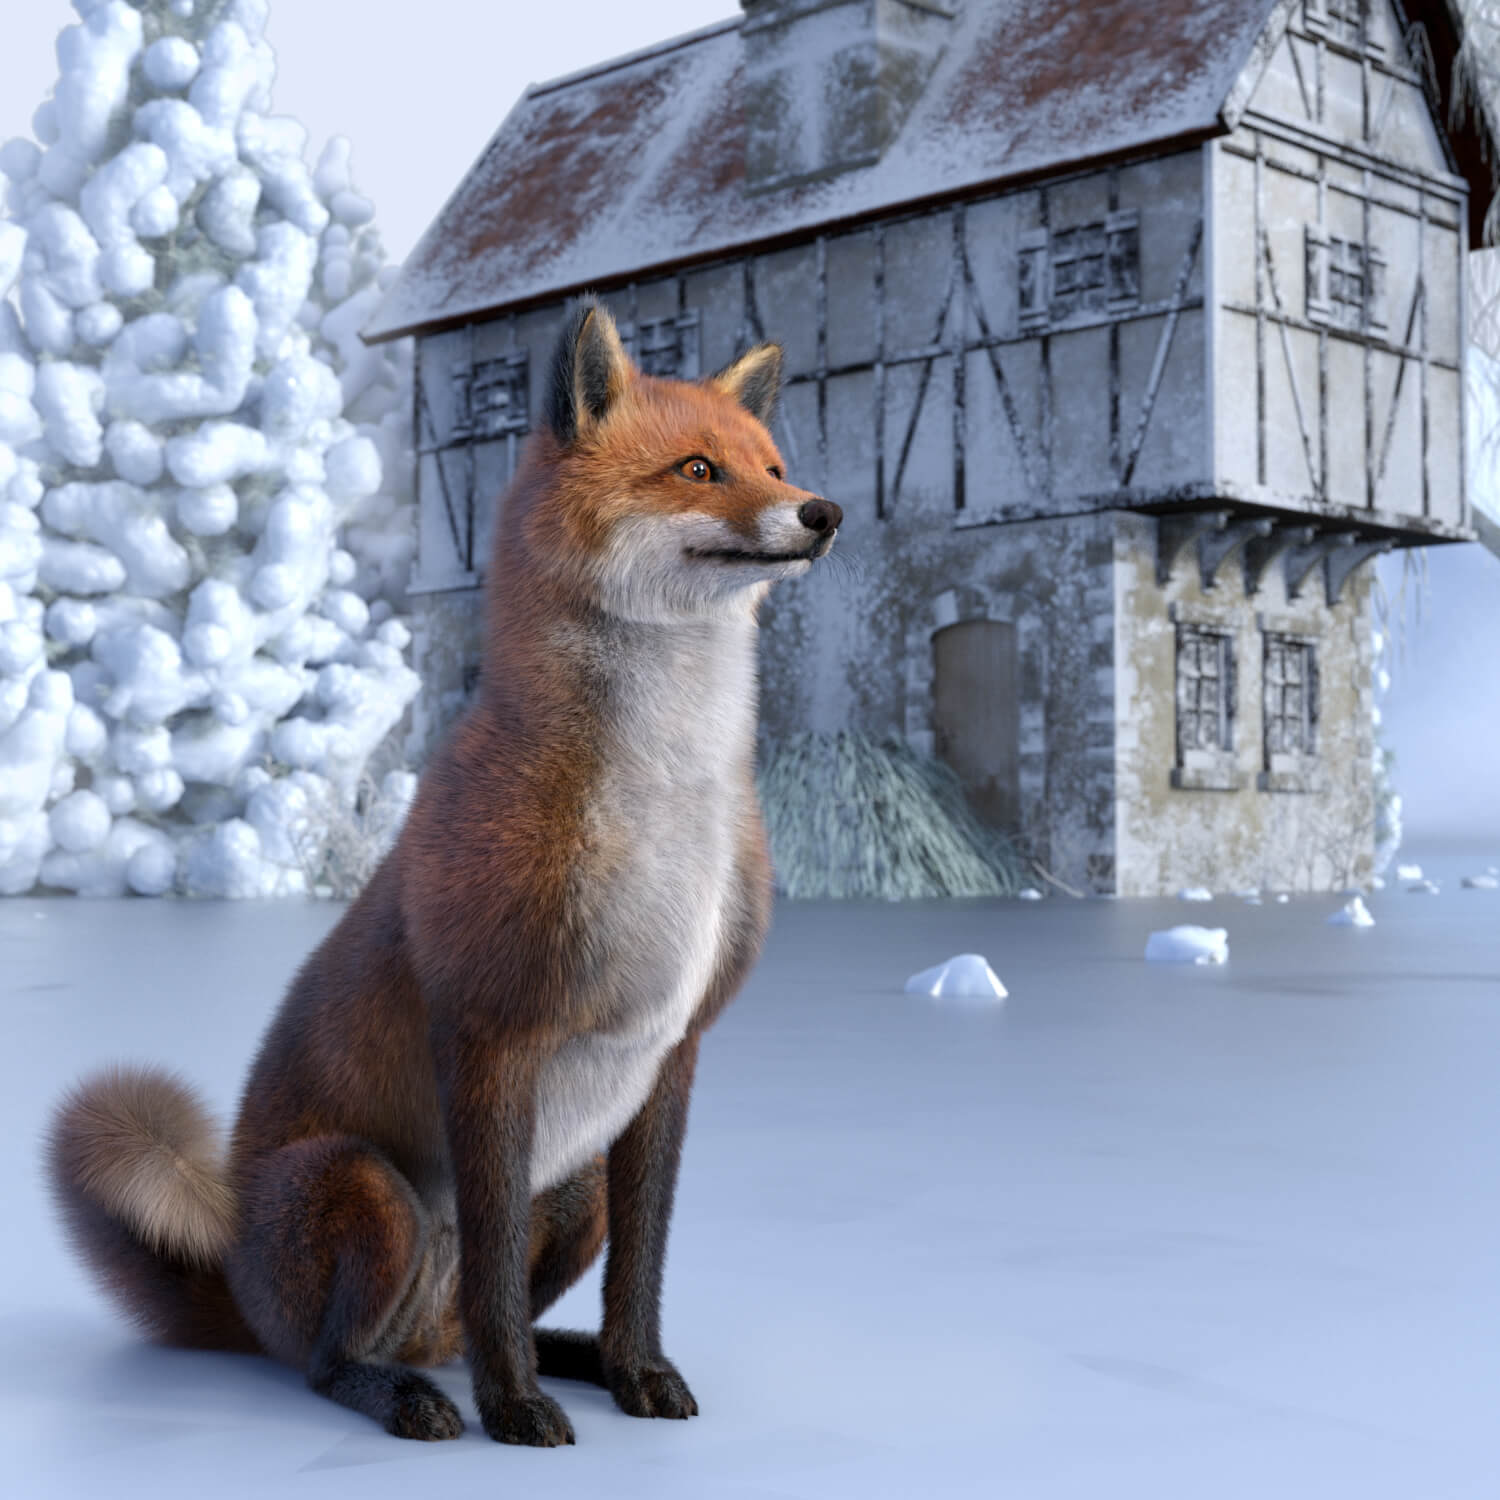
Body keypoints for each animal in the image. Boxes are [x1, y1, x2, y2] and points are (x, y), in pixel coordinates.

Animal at [45, 297, 842, 1447]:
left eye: (774, 466)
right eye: (698, 470)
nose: (823, 512)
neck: (664, 807)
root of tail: (239, 1285)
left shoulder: (673, 1052)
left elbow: (641, 1265)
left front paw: (635, 1371)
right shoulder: (488, 1036)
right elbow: (497, 1268)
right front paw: (516, 1411)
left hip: (576, 1191)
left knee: (463, 1325)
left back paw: (566, 1361)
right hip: (369, 1191)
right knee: (335, 1361)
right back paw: (411, 1396)